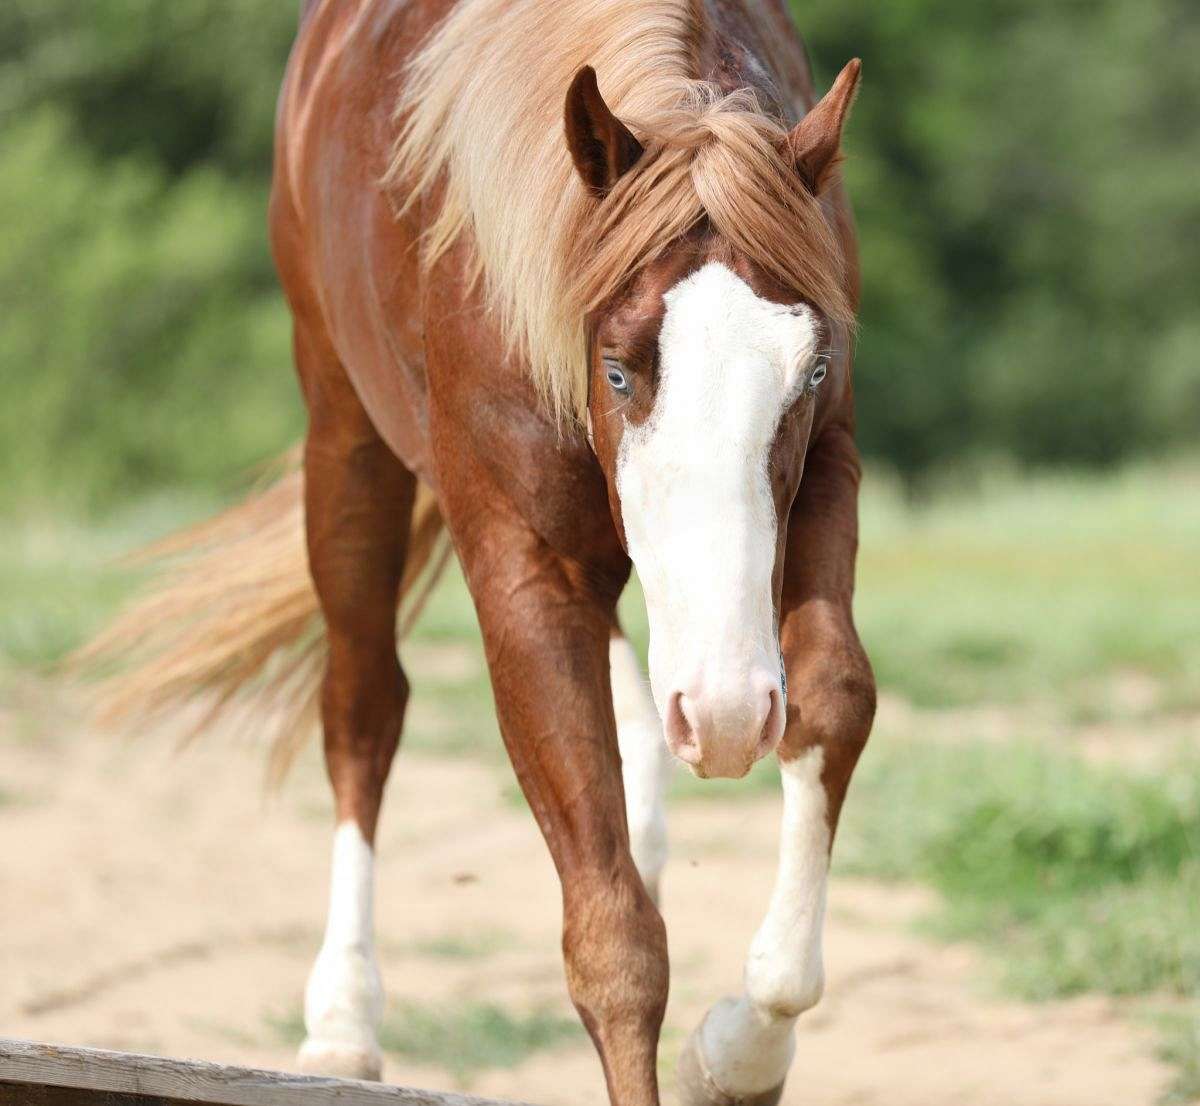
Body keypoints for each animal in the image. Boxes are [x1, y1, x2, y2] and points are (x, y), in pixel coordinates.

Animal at [84, 2, 876, 1103]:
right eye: (618, 370)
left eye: (805, 372)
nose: (723, 712)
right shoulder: (521, 557)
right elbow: (615, 942)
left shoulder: (826, 464)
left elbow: (834, 693)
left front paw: (737, 1052)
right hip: (345, 435)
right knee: (363, 707)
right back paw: (342, 1018)